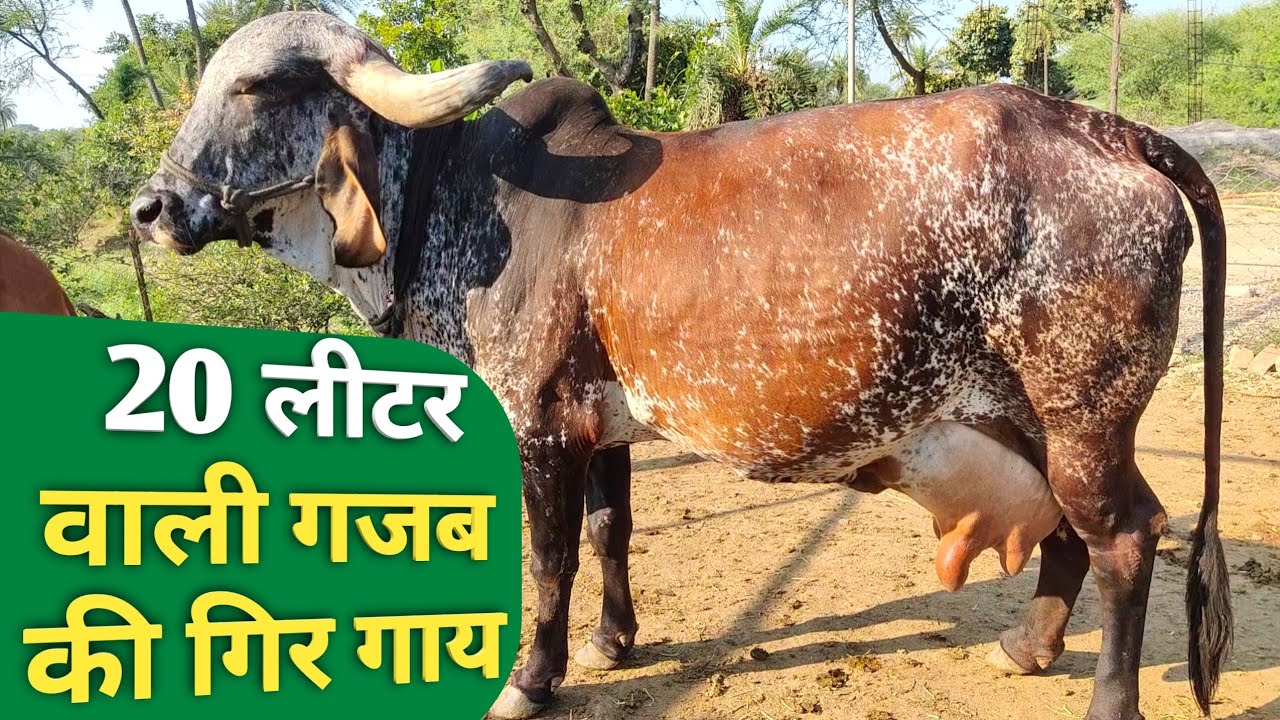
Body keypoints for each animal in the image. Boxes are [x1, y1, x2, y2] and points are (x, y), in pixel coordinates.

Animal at [128, 13, 1231, 720]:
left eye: (255, 88)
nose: (150, 207)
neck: (452, 201)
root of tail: (1111, 127)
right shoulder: (601, 424)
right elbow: (609, 534)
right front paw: (615, 641)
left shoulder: (536, 423)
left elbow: (548, 558)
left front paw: (530, 679)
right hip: (1030, 415)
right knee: (1069, 532)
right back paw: (1026, 646)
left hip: (1083, 411)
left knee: (1125, 535)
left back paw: (1106, 701)